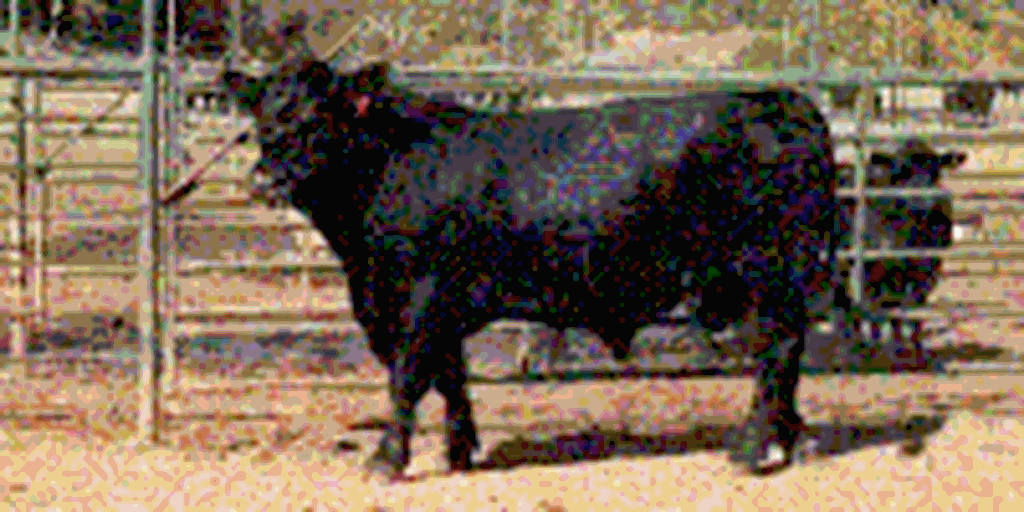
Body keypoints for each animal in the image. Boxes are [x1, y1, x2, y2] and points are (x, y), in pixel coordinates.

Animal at [220, 52, 840, 477]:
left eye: (317, 116)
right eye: (261, 118)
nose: (264, 180)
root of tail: (780, 100)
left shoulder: (421, 295)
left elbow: (408, 378)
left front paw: (388, 459)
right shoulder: (426, 305)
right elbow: (451, 377)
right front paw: (460, 451)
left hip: (764, 270)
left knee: (776, 350)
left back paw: (752, 449)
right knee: (785, 354)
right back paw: (791, 440)